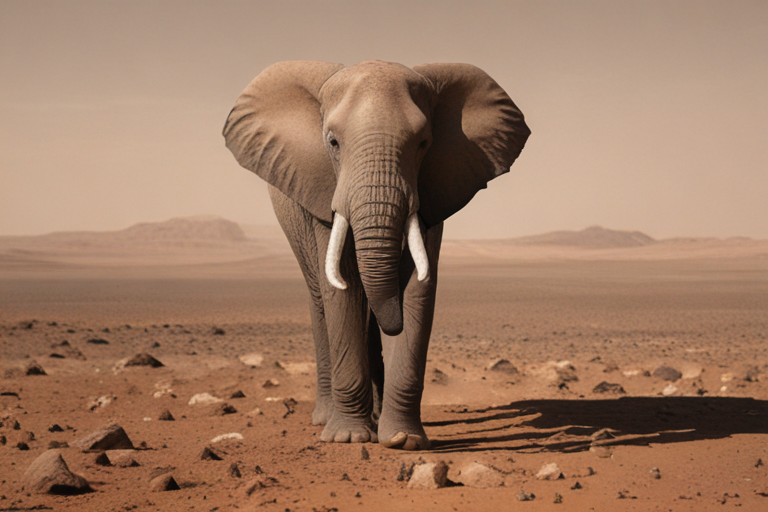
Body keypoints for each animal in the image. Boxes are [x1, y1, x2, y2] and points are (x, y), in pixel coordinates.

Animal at [223, 60, 529, 450]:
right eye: (333, 142)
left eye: (424, 143)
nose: (393, 324)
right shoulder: (323, 188)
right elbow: (346, 289)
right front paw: (349, 438)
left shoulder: (436, 185)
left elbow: (418, 286)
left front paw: (403, 439)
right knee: (321, 299)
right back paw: (327, 418)